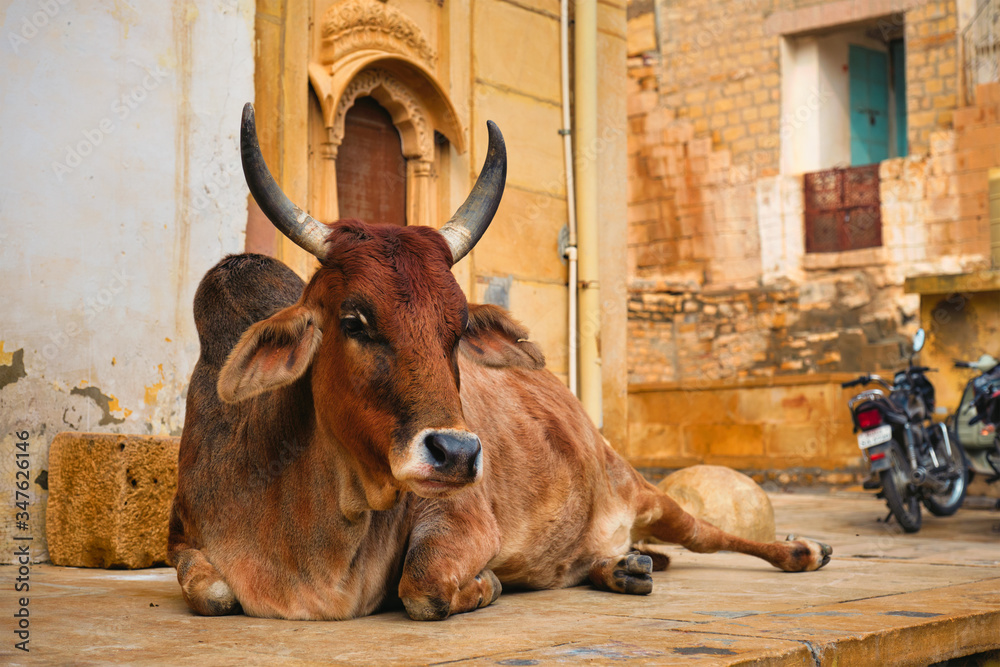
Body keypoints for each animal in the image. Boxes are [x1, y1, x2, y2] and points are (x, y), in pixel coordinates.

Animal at [167, 103, 831, 622]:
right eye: (353, 321)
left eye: (458, 328)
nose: (458, 453)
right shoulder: (184, 538)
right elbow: (213, 592)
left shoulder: (459, 514)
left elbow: (424, 587)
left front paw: (486, 584)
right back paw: (625, 567)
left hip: (644, 491)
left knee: (711, 533)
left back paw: (799, 552)